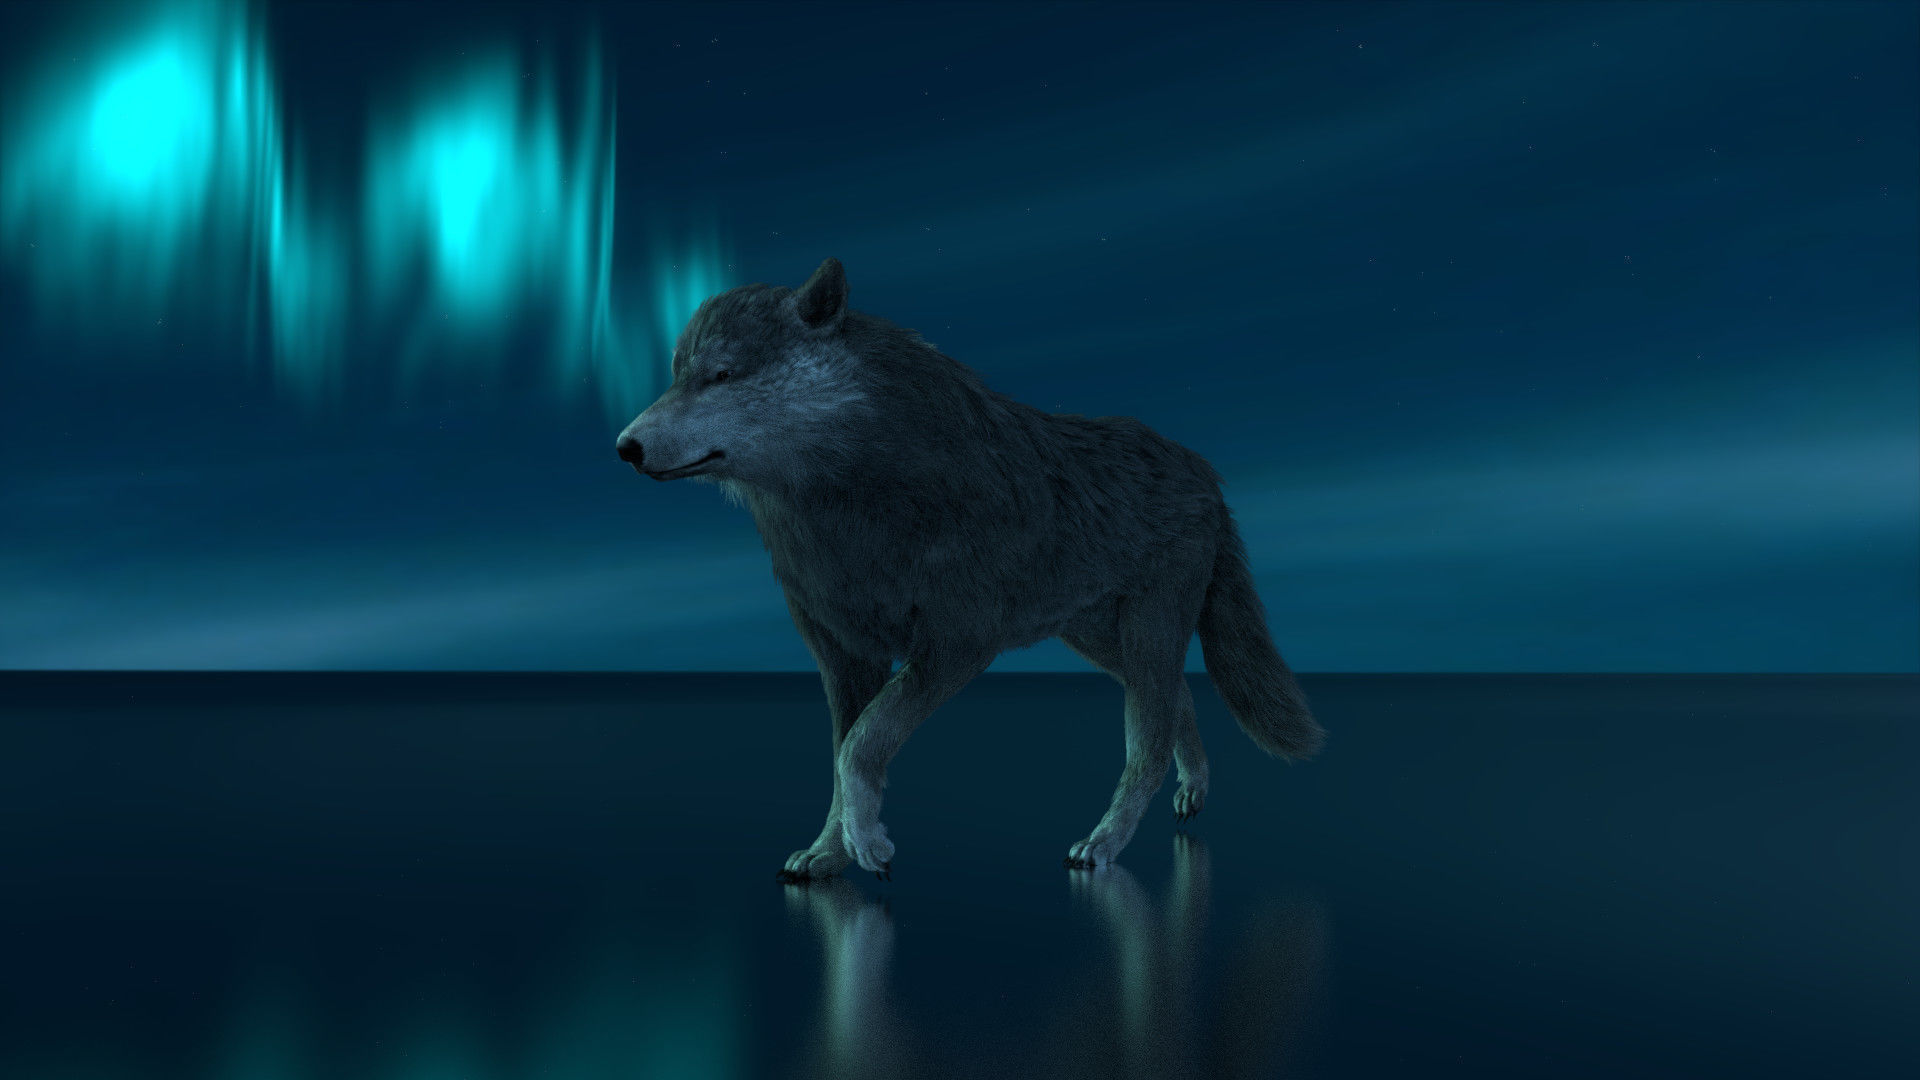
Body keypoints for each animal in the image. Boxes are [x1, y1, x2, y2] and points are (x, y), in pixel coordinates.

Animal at [616, 258, 1323, 879]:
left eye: (721, 375)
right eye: (675, 376)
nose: (625, 446)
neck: (852, 497)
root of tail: (1203, 468)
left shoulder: (957, 645)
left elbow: (860, 747)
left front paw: (869, 847)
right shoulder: (844, 657)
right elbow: (843, 756)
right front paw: (829, 854)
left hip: (1144, 631)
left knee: (1146, 744)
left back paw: (1101, 844)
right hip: (1099, 639)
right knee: (1180, 698)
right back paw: (1191, 792)